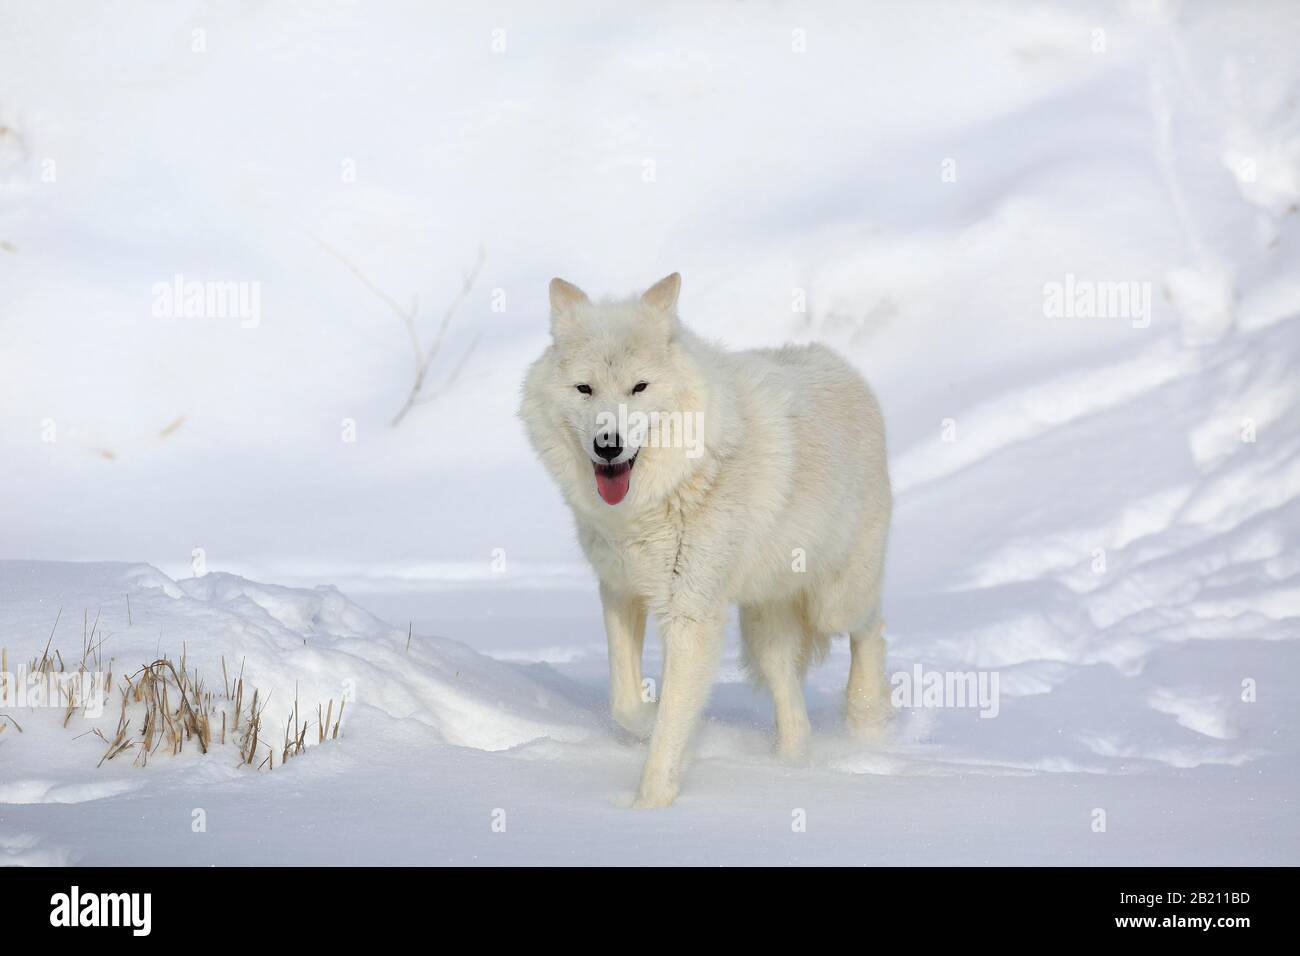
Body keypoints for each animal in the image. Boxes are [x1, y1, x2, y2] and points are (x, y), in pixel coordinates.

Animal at [519, 273, 891, 807]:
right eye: (585, 389)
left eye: (638, 387)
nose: (608, 445)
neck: (661, 494)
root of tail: (844, 366)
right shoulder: (619, 591)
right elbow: (625, 702)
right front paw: (652, 720)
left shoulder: (690, 615)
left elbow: (671, 722)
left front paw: (651, 803)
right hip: (764, 626)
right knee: (790, 698)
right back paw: (791, 765)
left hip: (833, 601)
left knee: (872, 628)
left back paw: (866, 724)